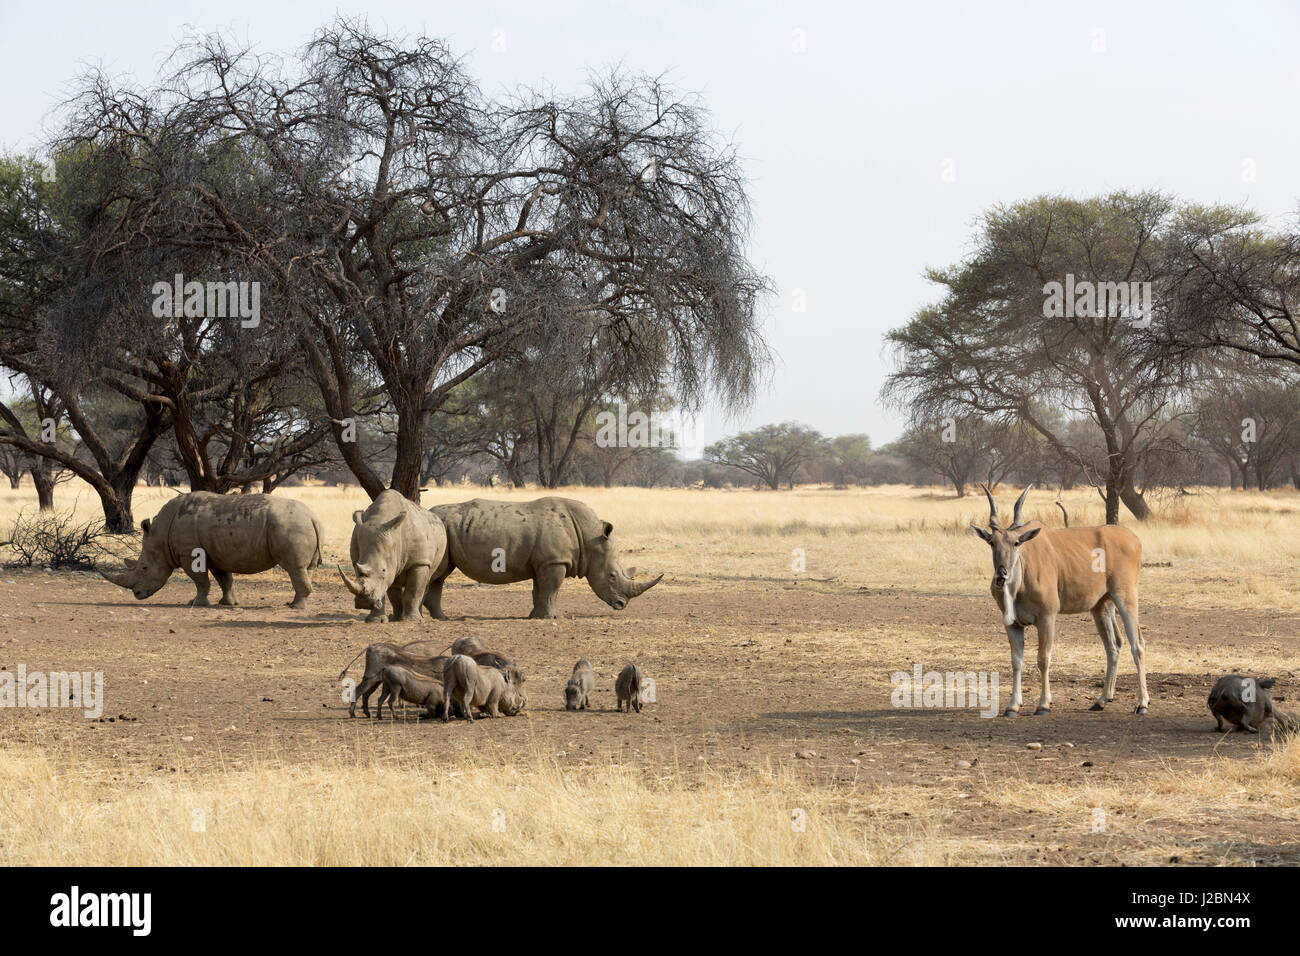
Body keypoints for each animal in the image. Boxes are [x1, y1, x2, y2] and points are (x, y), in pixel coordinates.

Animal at [97, 491, 323, 608]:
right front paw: (227, 603)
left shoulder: (189, 553)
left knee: (294, 568)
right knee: (306, 569)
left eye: (144, 568)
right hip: (299, 524)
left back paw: (295, 607)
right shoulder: (215, 554)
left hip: (290, 525)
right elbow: (224, 579)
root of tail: (312, 516)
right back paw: (295, 603)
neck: (161, 536)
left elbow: (200, 580)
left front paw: (196, 603)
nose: (137, 594)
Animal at [337, 490, 448, 623]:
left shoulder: (419, 562)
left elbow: (413, 591)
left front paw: (411, 621)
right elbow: (390, 593)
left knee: (426, 581)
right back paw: (398, 617)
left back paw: (419, 617)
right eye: (357, 570)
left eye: (383, 570)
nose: (364, 603)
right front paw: (378, 620)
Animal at [427, 497, 662, 619]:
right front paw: (551, 618)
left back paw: (440, 617)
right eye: (612, 576)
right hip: (443, 527)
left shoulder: (543, 563)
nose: (622, 604)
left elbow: (540, 590)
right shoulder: (554, 561)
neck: (589, 537)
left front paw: (535, 616)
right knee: (437, 573)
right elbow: (551, 589)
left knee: (440, 575)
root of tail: (428, 511)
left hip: (449, 528)